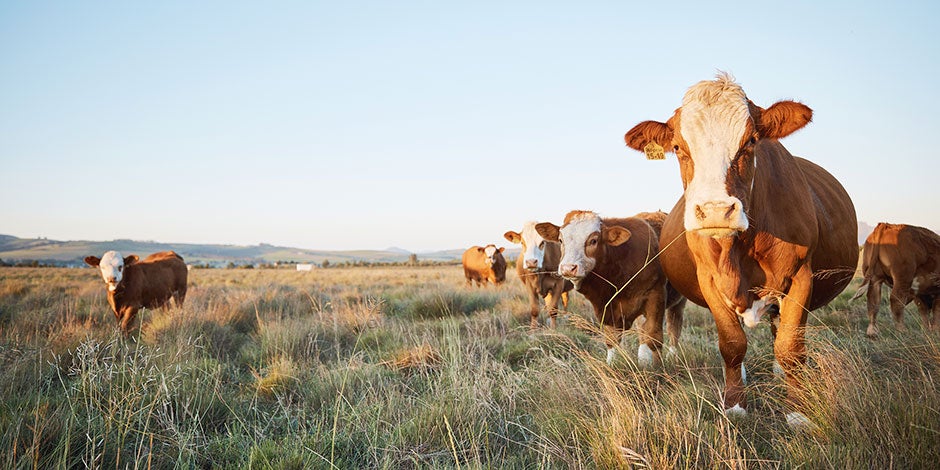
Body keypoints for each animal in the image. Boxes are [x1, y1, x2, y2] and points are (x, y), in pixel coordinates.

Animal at [536, 211, 686, 366]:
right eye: (560, 240)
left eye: (594, 240)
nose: (568, 268)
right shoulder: (606, 308)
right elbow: (612, 340)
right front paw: (611, 363)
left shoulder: (655, 297)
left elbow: (651, 338)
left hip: (678, 301)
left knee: (674, 325)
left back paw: (672, 355)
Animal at [624, 73, 858, 429]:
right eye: (678, 147)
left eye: (750, 142)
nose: (716, 210)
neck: (740, 247)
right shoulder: (710, 282)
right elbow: (732, 344)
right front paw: (735, 404)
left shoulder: (801, 277)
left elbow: (791, 346)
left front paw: (798, 411)